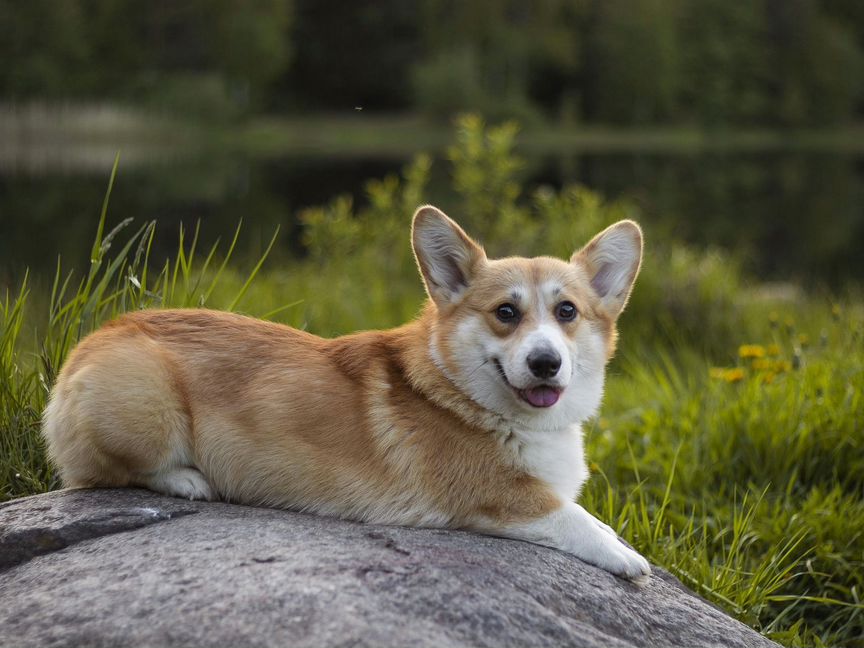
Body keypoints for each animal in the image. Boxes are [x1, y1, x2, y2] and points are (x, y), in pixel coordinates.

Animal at [40, 209, 648, 584]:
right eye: (506, 313)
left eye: (567, 311)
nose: (546, 363)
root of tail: (90, 341)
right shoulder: (494, 496)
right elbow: (575, 518)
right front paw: (626, 557)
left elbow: (588, 514)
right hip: (148, 408)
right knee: (106, 471)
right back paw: (189, 480)